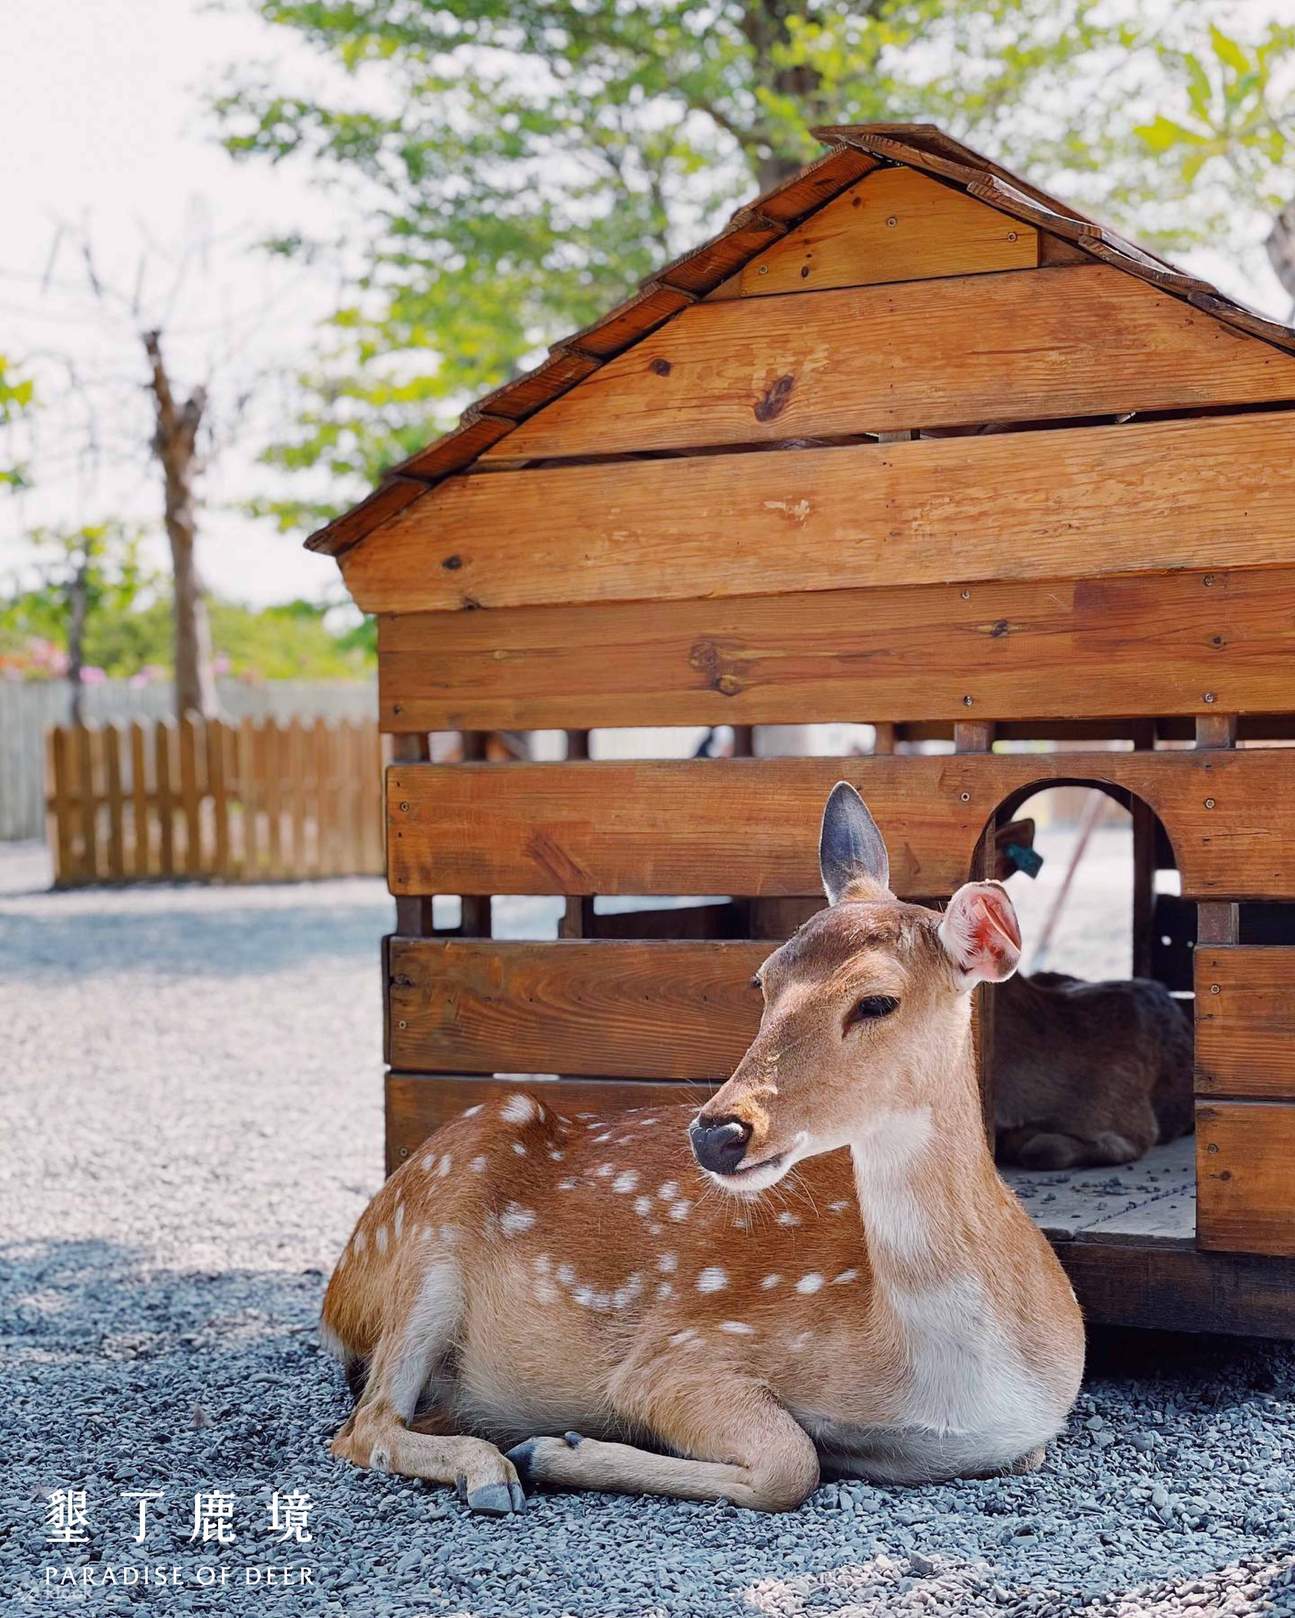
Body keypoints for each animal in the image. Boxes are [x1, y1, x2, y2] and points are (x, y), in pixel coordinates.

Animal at [321, 783, 1085, 1515]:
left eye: (877, 1002)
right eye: (763, 979)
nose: (717, 1133)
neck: (951, 1387)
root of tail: (336, 1295)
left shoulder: (1027, 1439)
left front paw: (554, 1445)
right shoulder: (680, 1350)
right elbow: (792, 1462)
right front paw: (554, 1447)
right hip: (433, 1221)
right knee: (363, 1425)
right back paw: (492, 1470)